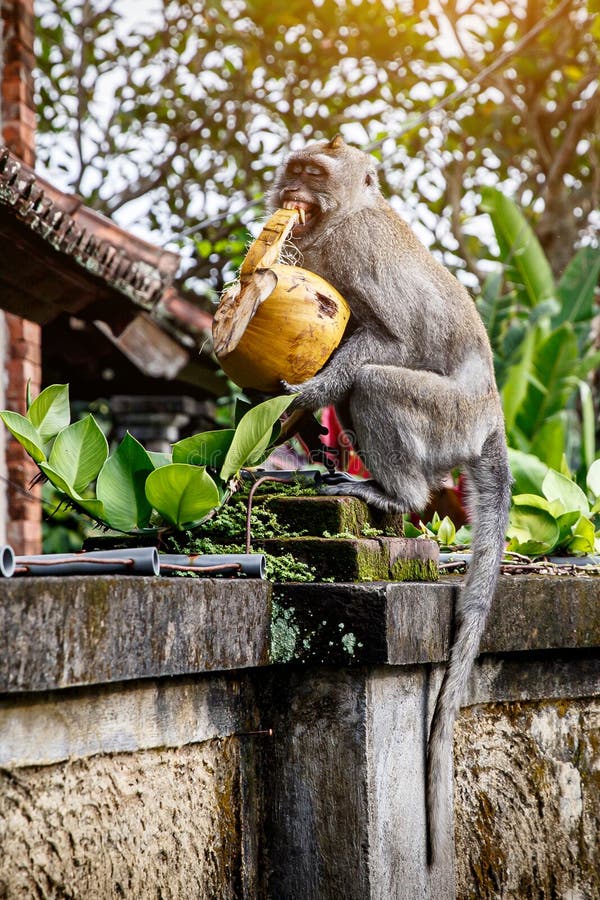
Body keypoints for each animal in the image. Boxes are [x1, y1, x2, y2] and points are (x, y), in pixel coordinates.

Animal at [267, 135, 512, 866]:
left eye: (314, 173)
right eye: (294, 169)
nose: (292, 189)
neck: (340, 217)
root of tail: (490, 416)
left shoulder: (356, 248)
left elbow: (390, 339)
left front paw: (309, 395)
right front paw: (299, 425)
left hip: (447, 418)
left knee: (375, 382)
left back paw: (390, 487)